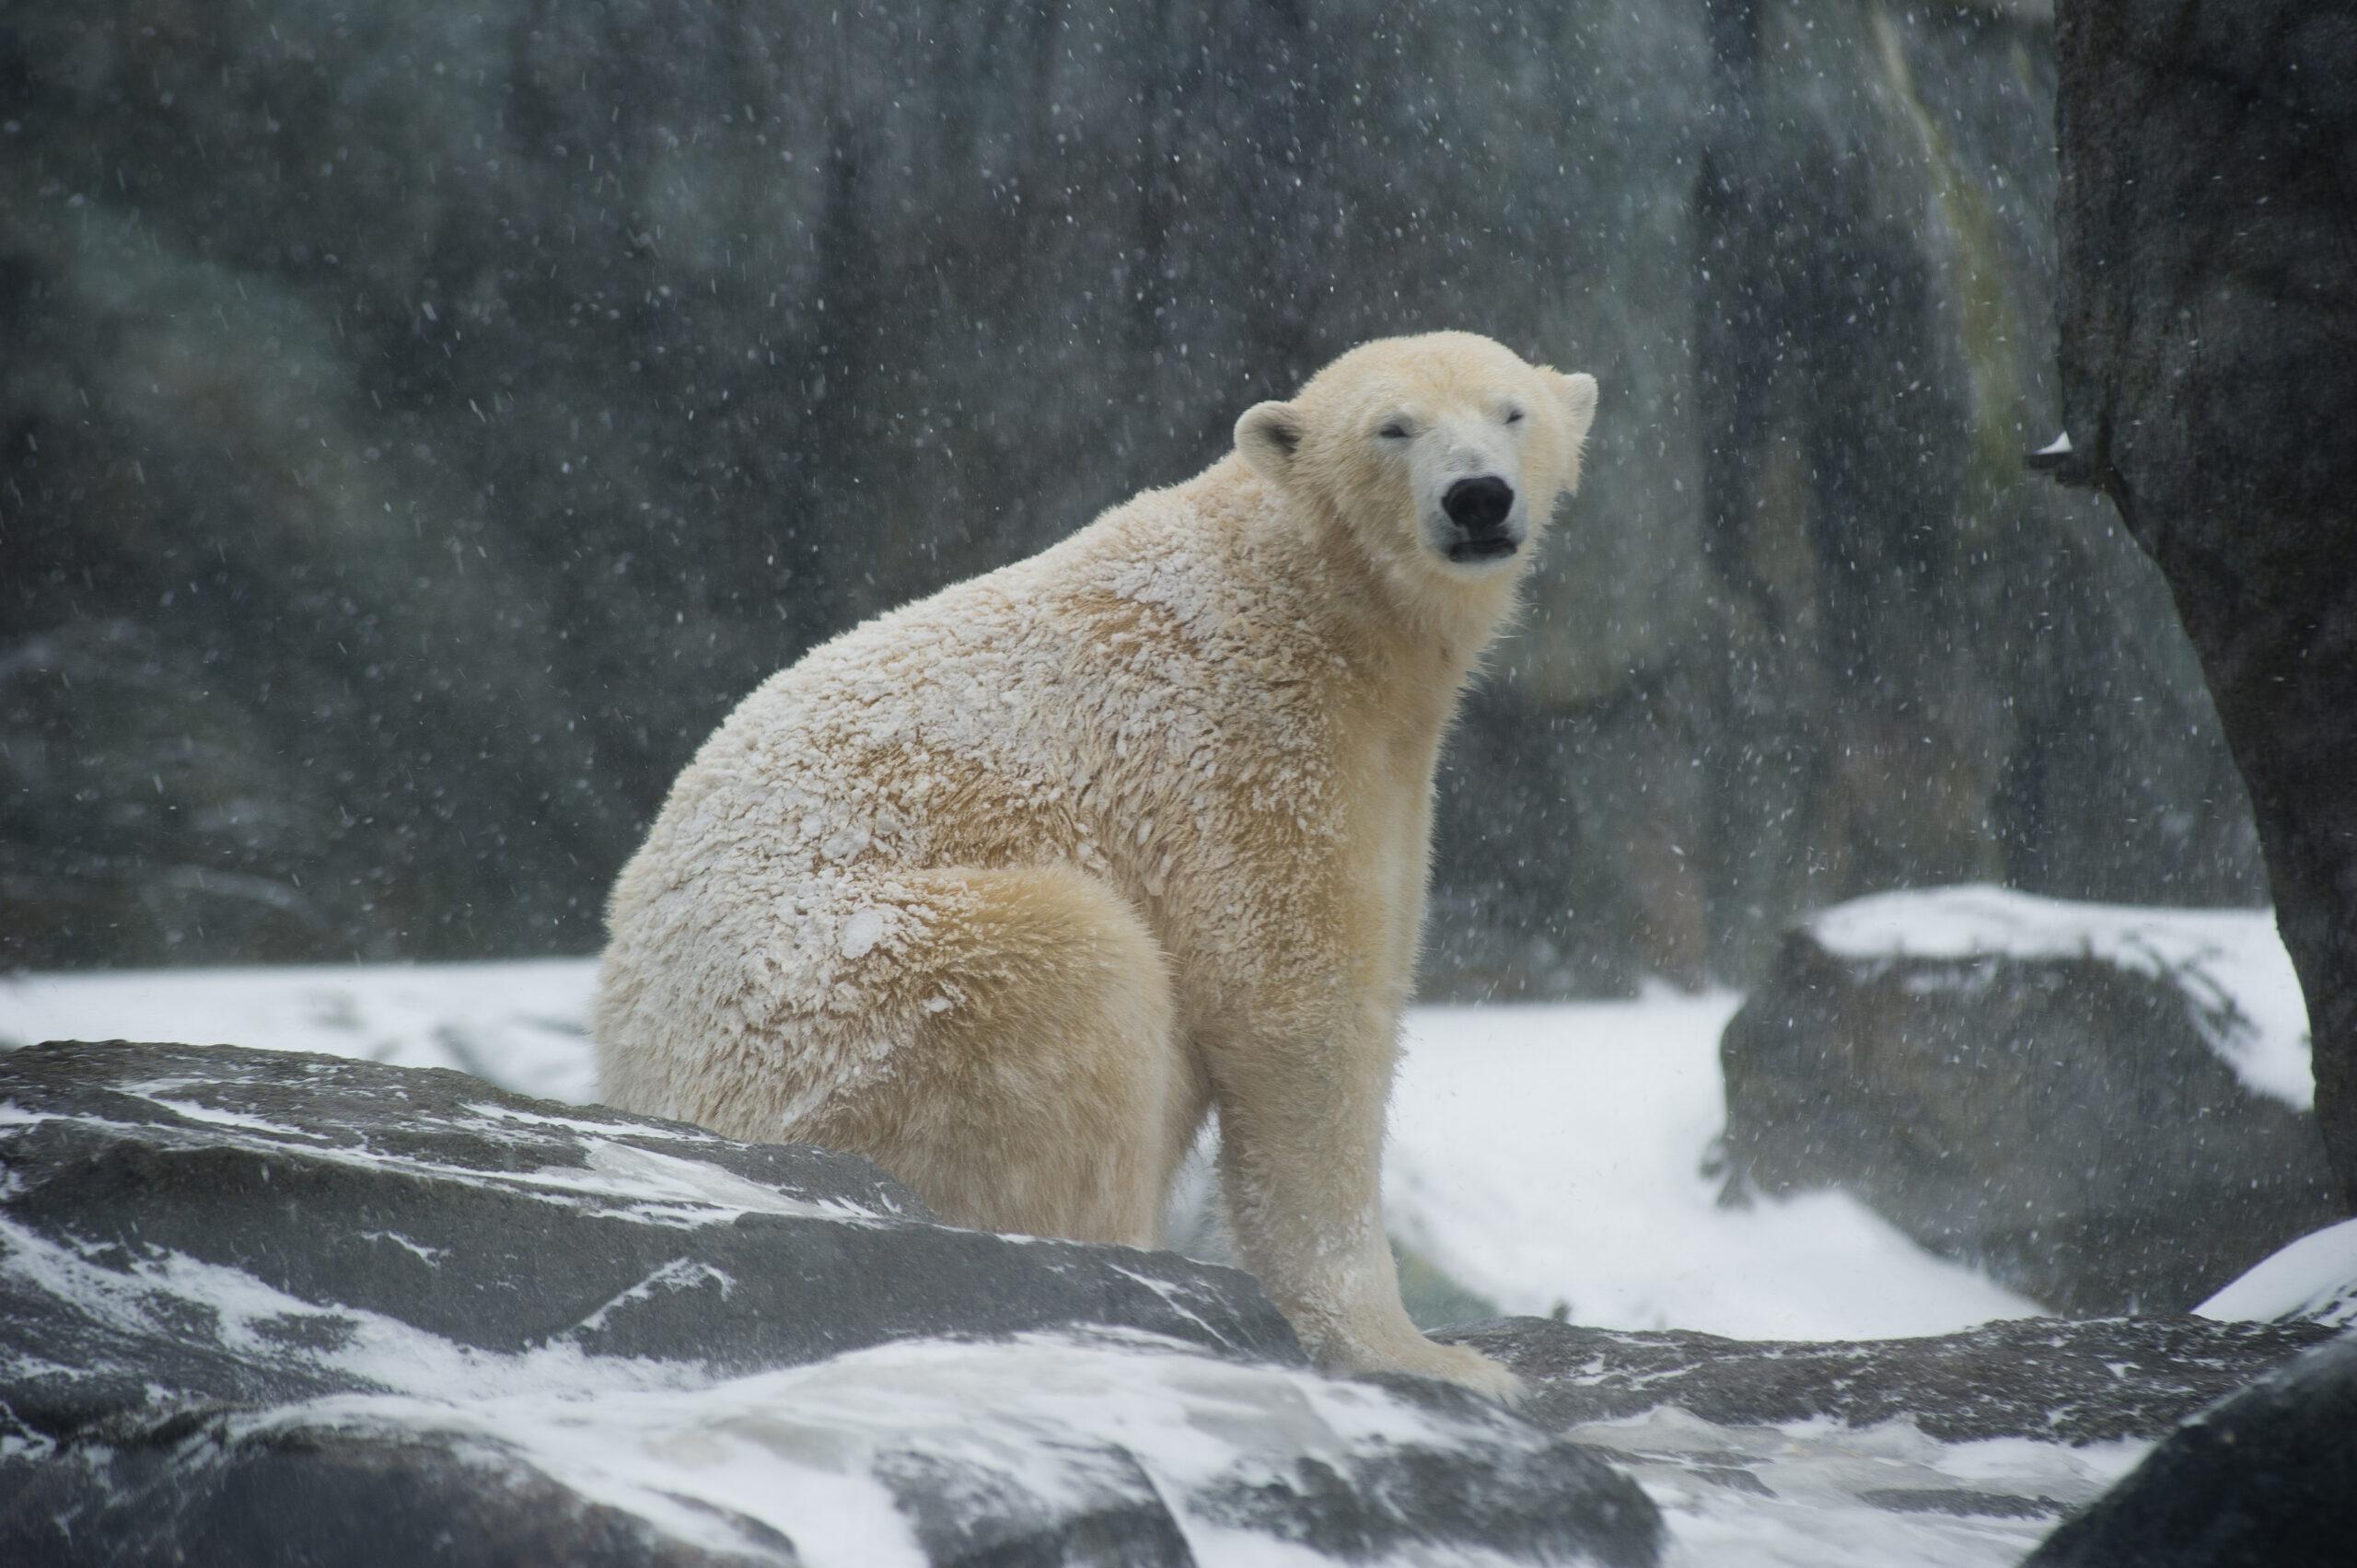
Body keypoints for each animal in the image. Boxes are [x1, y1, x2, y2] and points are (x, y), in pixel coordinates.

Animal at [594, 332, 1602, 1396]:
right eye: (1393, 428)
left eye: (1511, 411)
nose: (1477, 498)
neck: (1306, 601)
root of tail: (632, 1058)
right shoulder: (1248, 758)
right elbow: (1301, 1014)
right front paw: (1428, 1353)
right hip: (835, 1006)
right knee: (1078, 971)